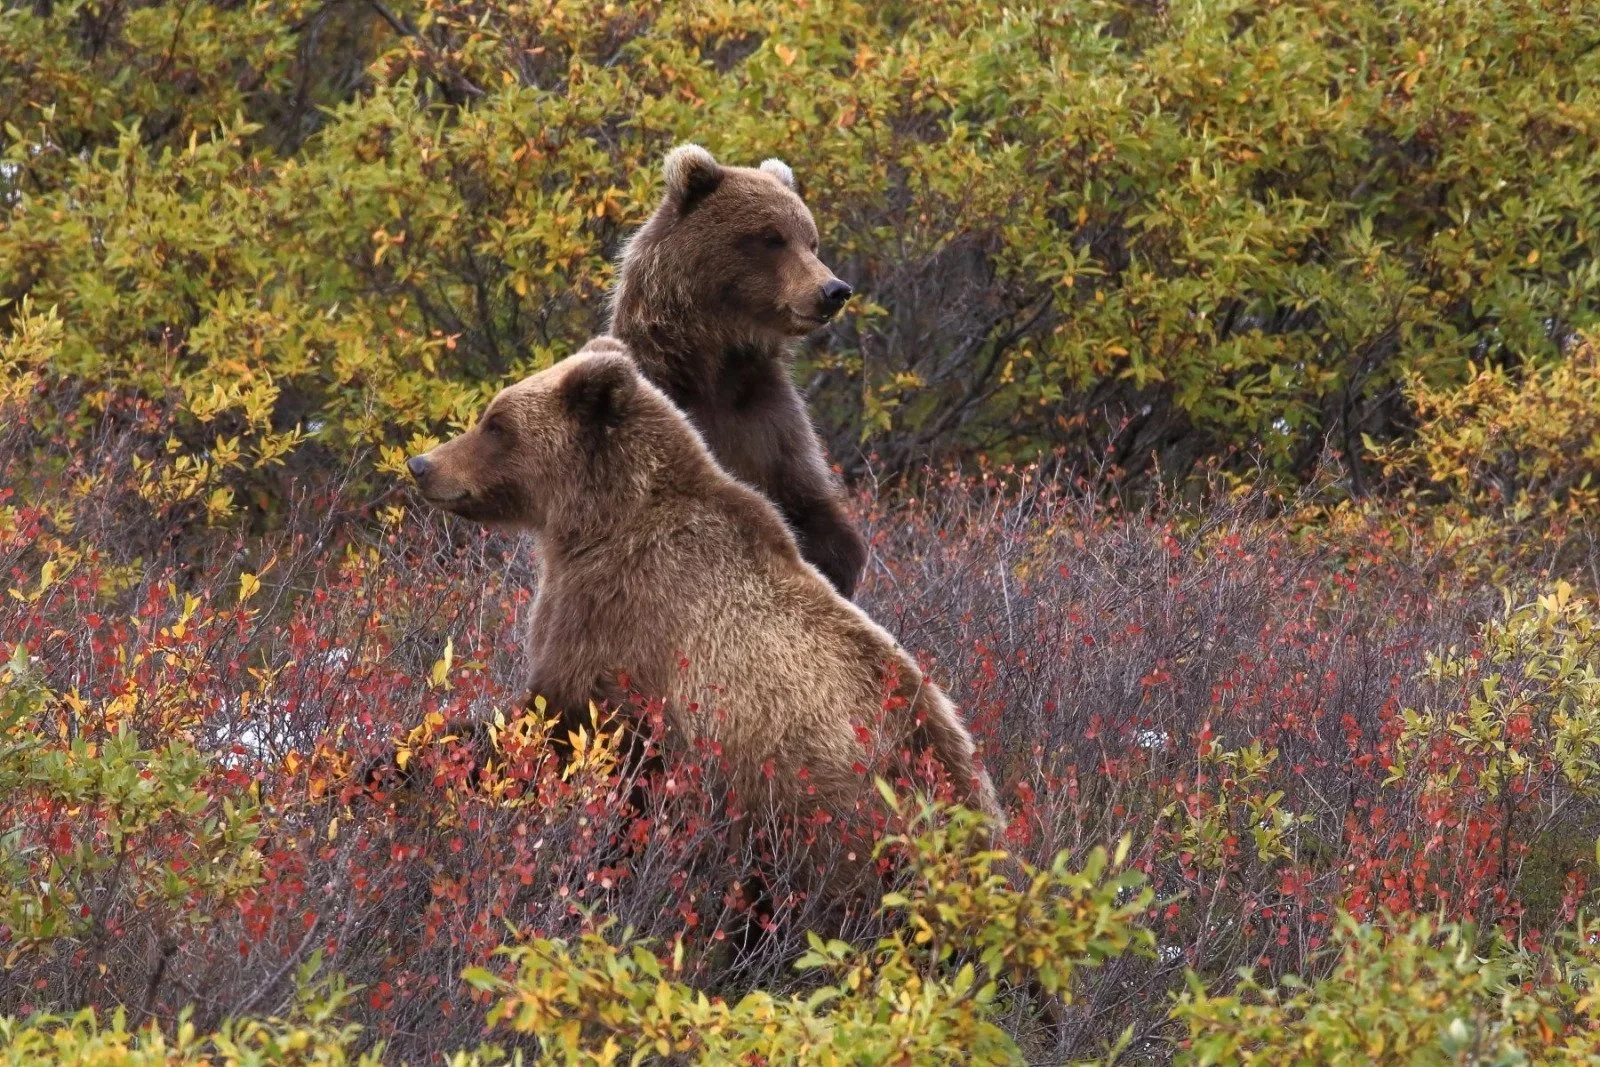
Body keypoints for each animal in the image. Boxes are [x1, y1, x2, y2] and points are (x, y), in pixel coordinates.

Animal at [607, 144, 868, 600]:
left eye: (811, 240)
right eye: (772, 238)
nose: (834, 290)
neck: (715, 364)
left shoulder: (769, 418)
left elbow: (811, 512)